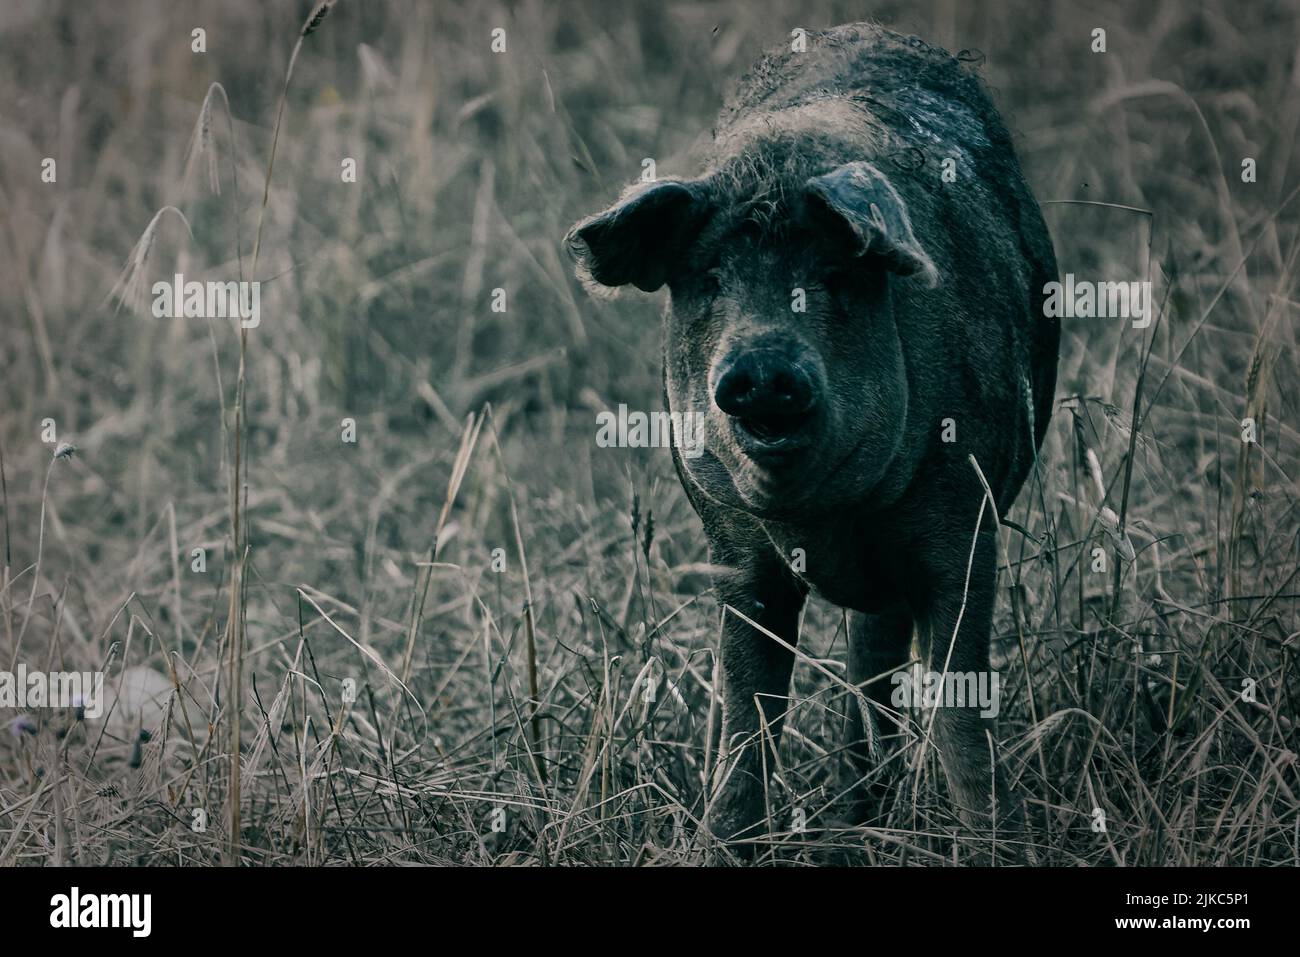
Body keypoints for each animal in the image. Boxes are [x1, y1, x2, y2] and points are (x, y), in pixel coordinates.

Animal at [566, 22, 1059, 853]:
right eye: (710, 280)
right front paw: (718, 848)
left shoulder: (965, 524)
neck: (824, 521)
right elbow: (747, 721)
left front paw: (1003, 844)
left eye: (834, 278)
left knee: (873, 660)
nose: (761, 364)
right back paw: (851, 818)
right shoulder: (733, 548)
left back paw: (859, 818)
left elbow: (960, 711)